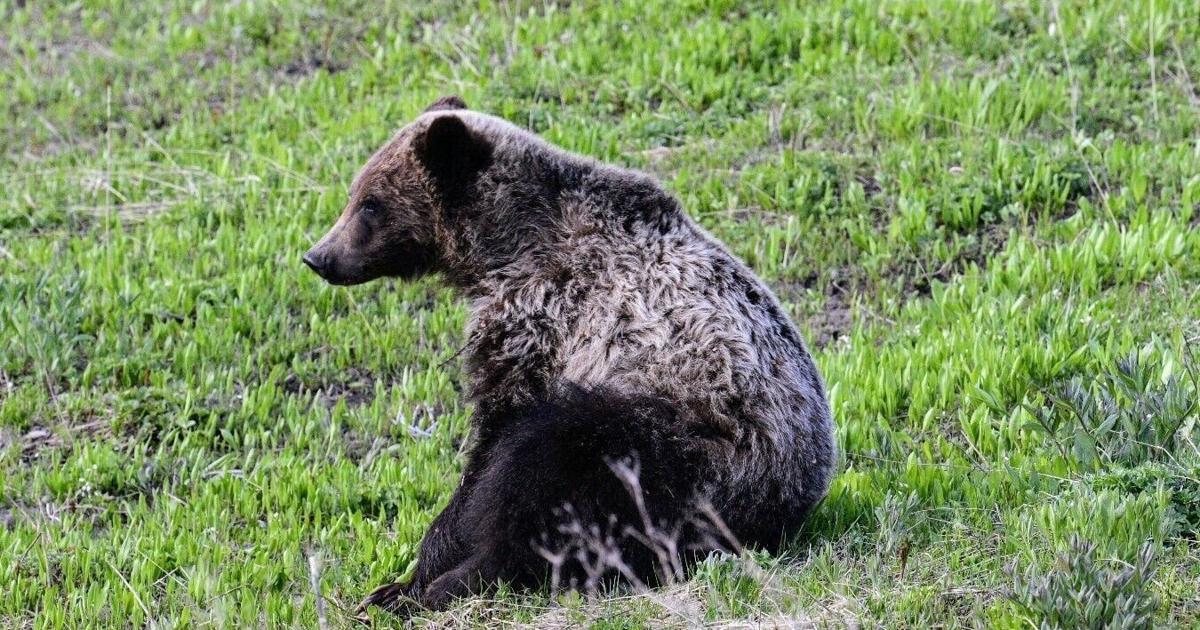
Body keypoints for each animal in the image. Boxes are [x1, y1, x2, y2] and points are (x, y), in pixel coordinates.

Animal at [303, 96, 836, 615]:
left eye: (370, 203)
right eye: (355, 193)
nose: (318, 256)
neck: (504, 248)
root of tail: (789, 507)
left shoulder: (541, 323)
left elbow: (492, 450)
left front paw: (412, 578)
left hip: (691, 443)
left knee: (556, 469)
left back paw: (460, 581)